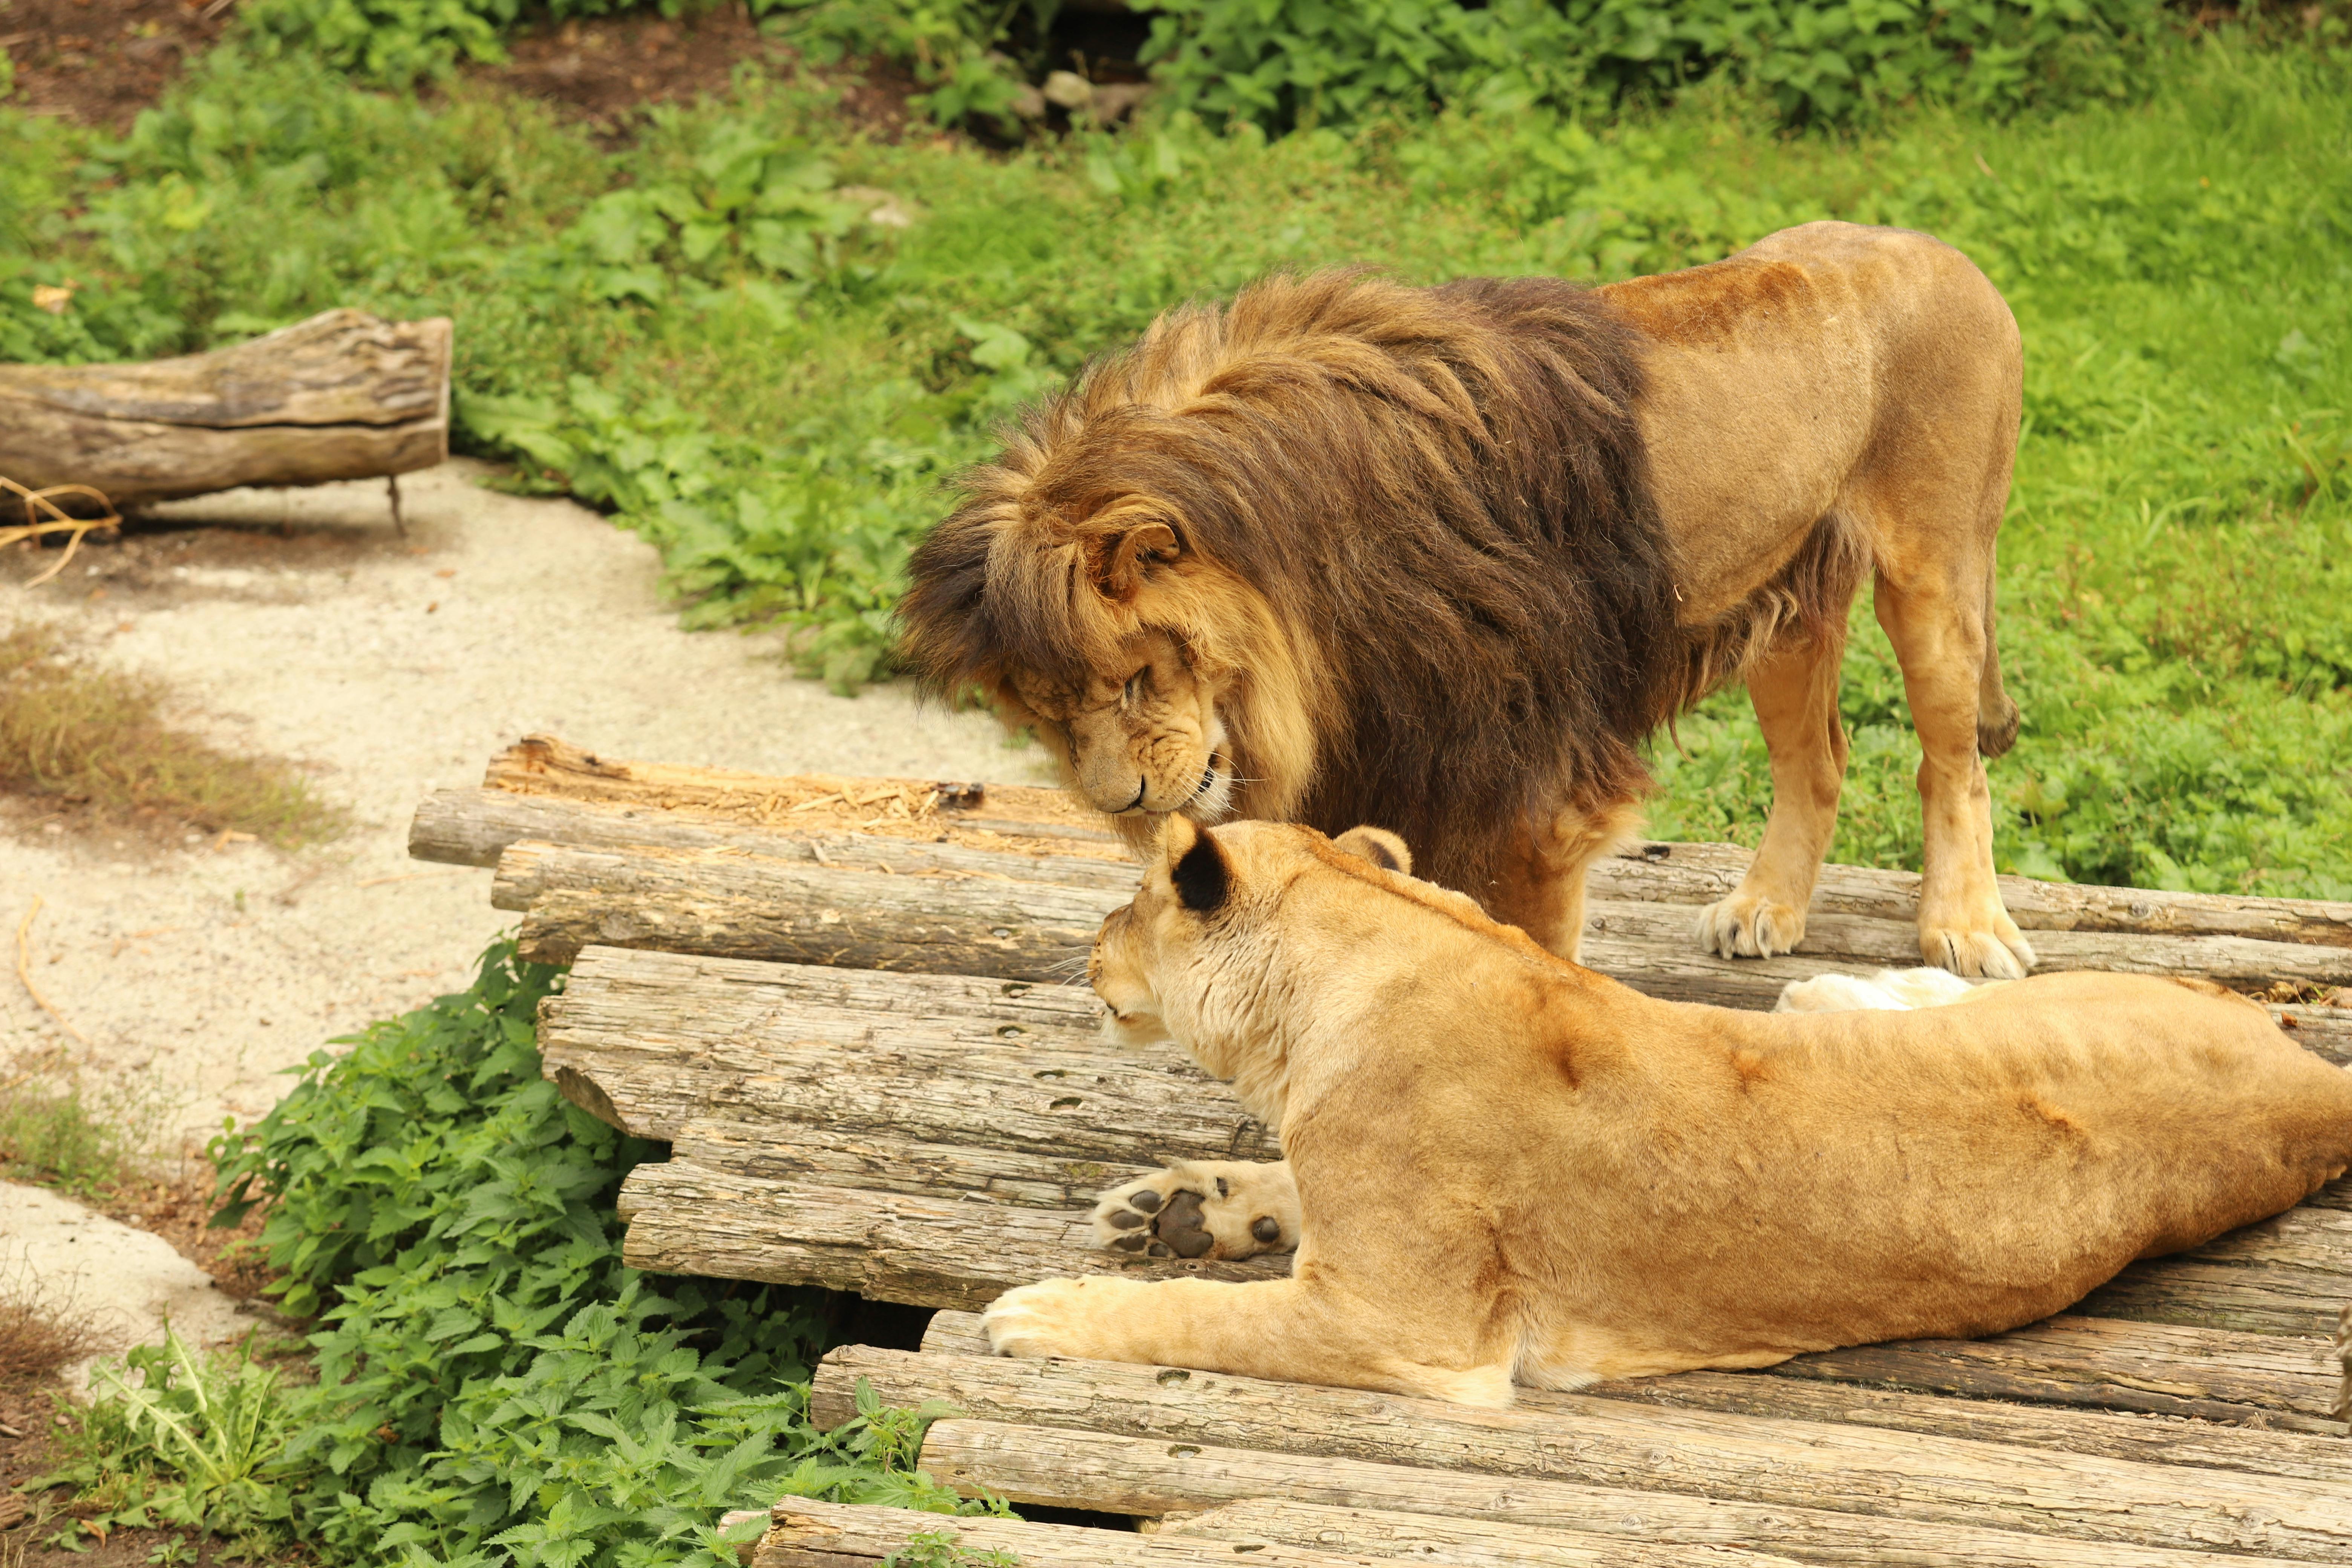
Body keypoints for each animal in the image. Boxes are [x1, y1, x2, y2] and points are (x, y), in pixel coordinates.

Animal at [900, 221, 2037, 978]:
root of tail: (1944, 248)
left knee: (1952, 764)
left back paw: (1965, 928)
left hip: (1936, 574)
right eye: (1049, 718)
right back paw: (1765, 908)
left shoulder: (1530, 792)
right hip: (1783, 598)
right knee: (1820, 759)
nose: (1125, 802)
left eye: (1136, 677)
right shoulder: (1390, 765)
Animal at [980, 819, 2352, 1405]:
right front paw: (1182, 1208)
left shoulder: (1407, 1334)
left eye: (1126, 901)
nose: (1090, 948)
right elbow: (1278, 1202)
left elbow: (1200, 1322)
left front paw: (1048, 1310)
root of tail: (2316, 1089)